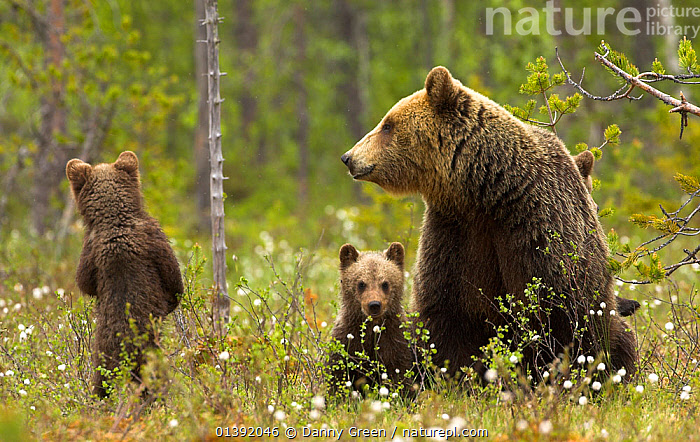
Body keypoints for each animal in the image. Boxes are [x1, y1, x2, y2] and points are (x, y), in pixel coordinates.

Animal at [66, 151, 183, 398]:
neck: (114, 220)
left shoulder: (91, 249)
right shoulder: (155, 238)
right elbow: (174, 281)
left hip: (103, 360)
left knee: (101, 386)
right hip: (141, 355)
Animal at [327, 242, 417, 396]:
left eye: (385, 283)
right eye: (361, 283)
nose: (374, 305)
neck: (372, 328)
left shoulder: (395, 342)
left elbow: (400, 373)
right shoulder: (346, 340)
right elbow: (336, 373)